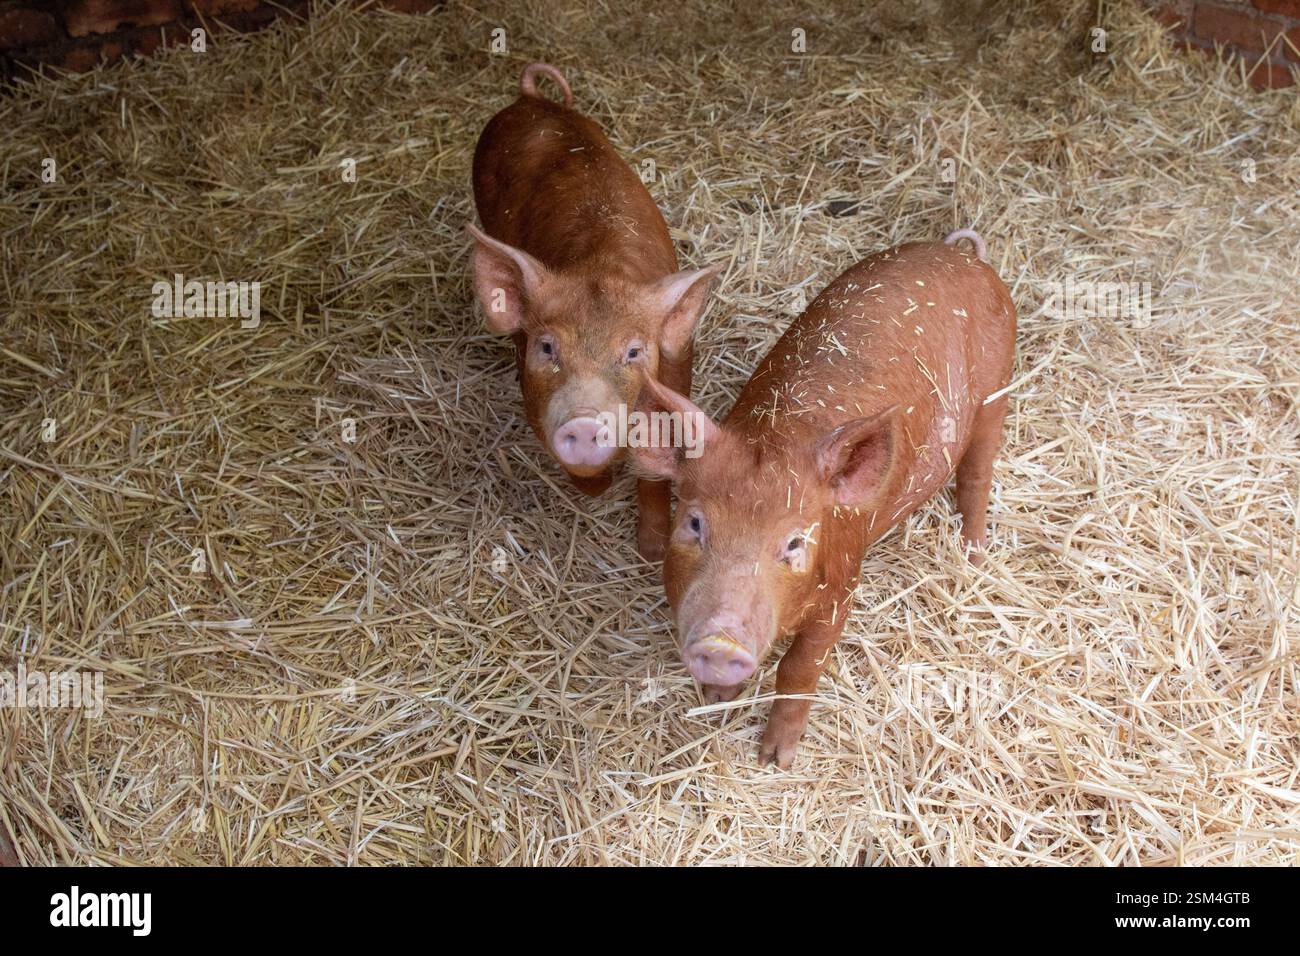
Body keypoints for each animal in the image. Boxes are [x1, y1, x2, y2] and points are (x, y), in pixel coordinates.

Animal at [468, 62, 720, 561]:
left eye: (634, 352)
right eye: (547, 347)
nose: (584, 421)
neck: (599, 264)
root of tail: (529, 100)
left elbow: (655, 475)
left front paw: (651, 552)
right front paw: (600, 489)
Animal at [630, 231, 1016, 767]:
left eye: (794, 543)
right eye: (694, 524)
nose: (721, 643)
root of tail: (964, 255)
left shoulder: (843, 587)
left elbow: (799, 669)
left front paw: (775, 760)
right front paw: (717, 698)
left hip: (995, 393)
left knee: (977, 476)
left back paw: (974, 558)